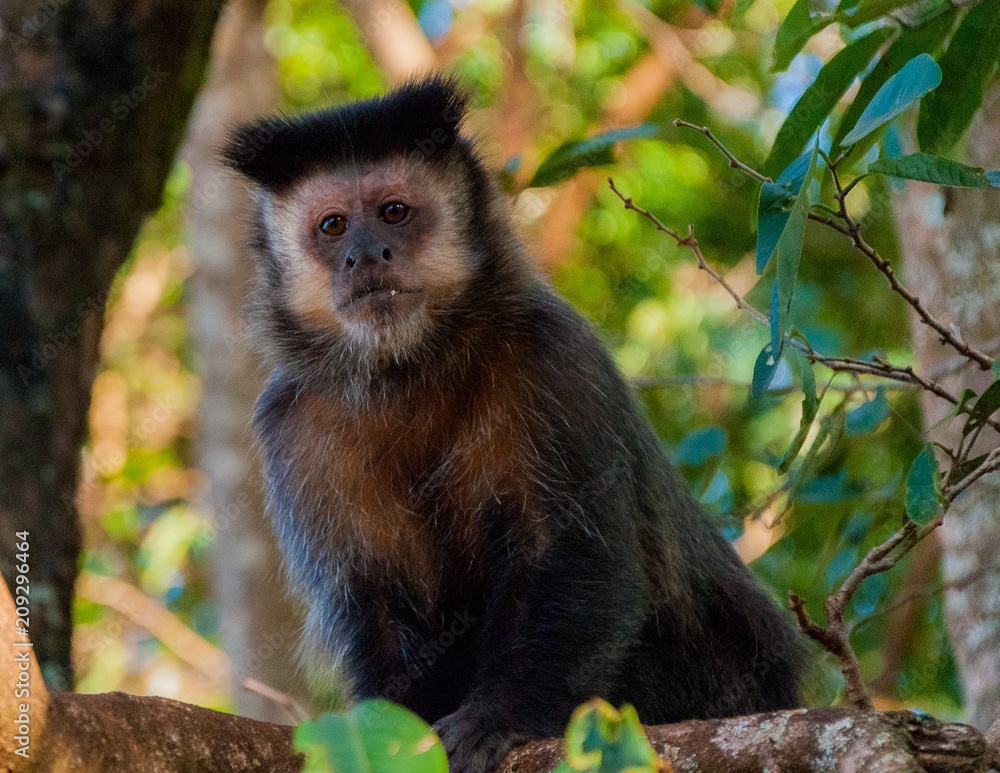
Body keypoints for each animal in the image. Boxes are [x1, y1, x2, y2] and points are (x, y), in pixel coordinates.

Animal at [222, 76, 805, 773]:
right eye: (333, 226)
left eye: (393, 212)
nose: (363, 256)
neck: (412, 369)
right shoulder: (294, 425)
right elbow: (373, 603)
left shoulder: (551, 357)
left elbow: (576, 550)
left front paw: (500, 715)